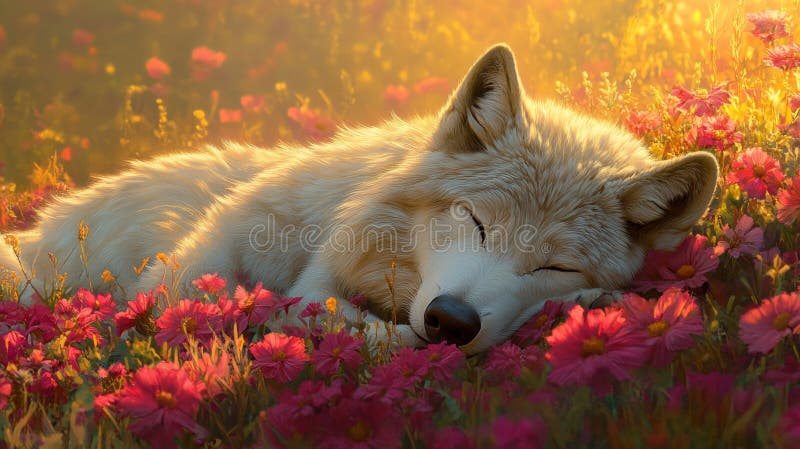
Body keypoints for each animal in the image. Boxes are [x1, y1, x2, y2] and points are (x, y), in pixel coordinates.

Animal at [0, 44, 718, 354]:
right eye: (475, 221)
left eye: (555, 265)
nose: (453, 318)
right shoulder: (243, 275)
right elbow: (358, 330)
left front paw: (583, 303)